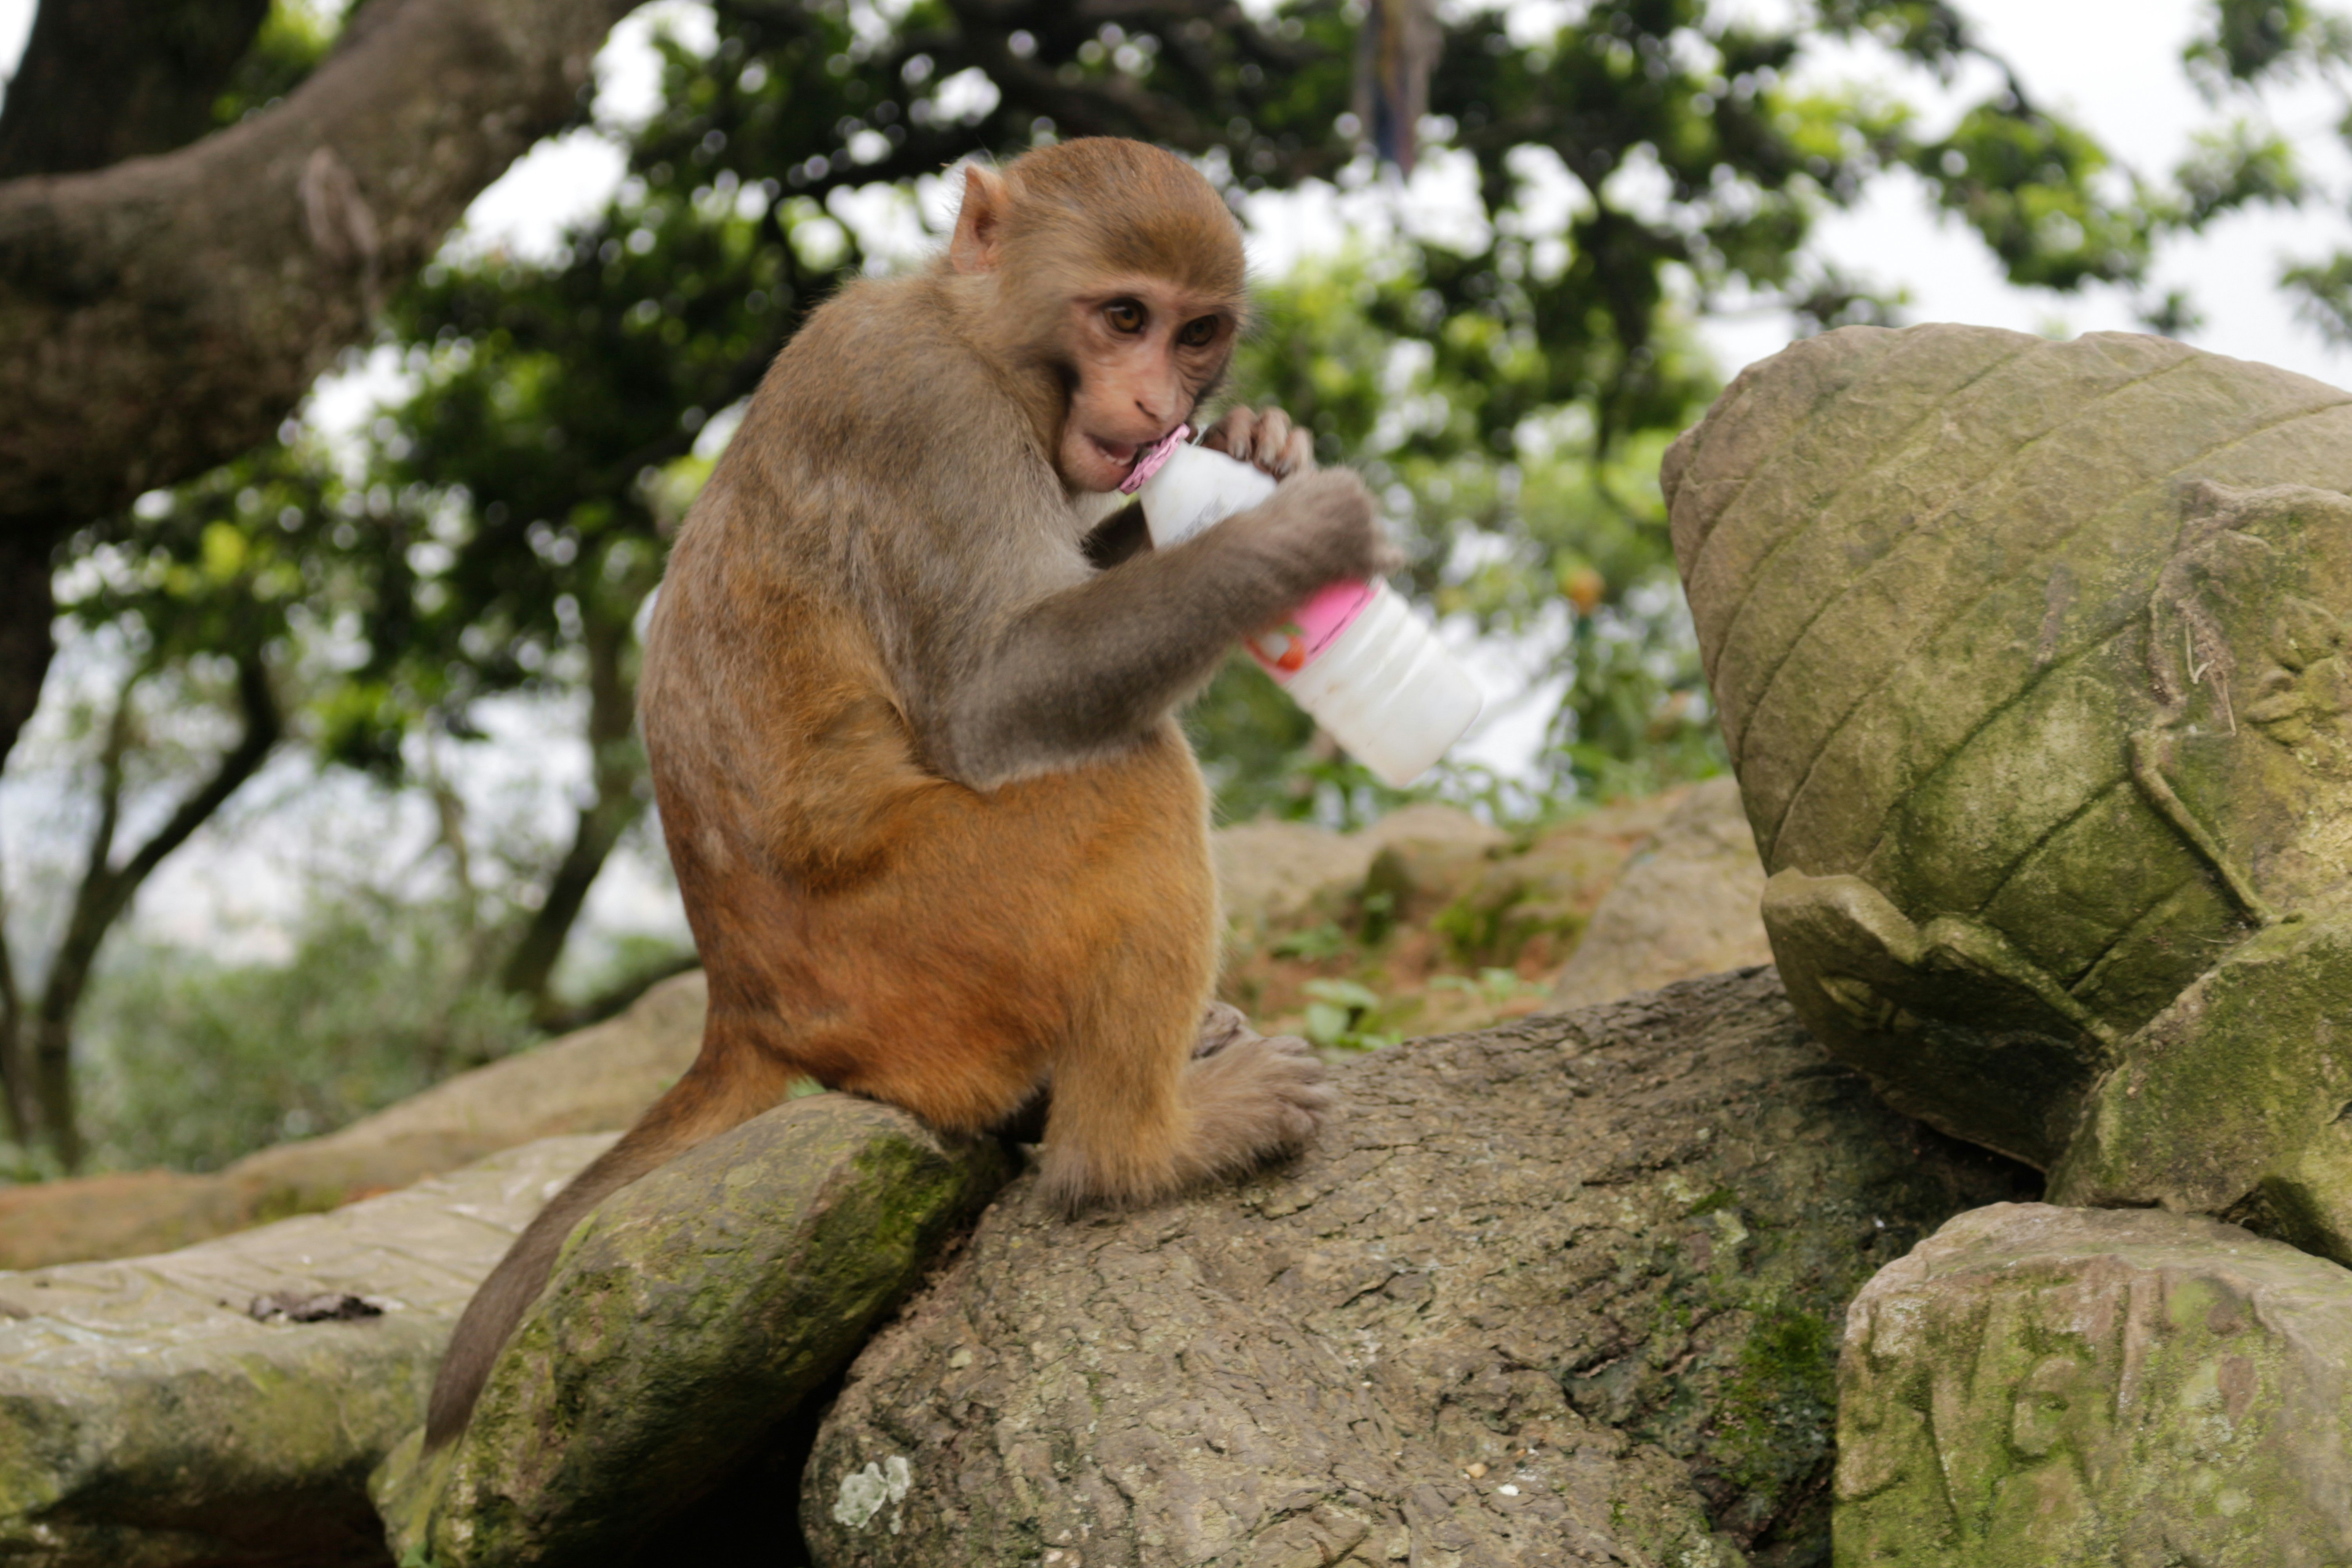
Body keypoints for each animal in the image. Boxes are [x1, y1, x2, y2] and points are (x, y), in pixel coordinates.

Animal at [424, 137, 1396, 1448]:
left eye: (1196, 332)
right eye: (1123, 316)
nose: (1161, 405)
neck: (977, 335)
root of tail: (746, 1005)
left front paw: (1258, 447)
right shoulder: (929, 413)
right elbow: (993, 695)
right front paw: (1291, 537)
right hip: (931, 936)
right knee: (1129, 768)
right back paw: (1134, 1149)